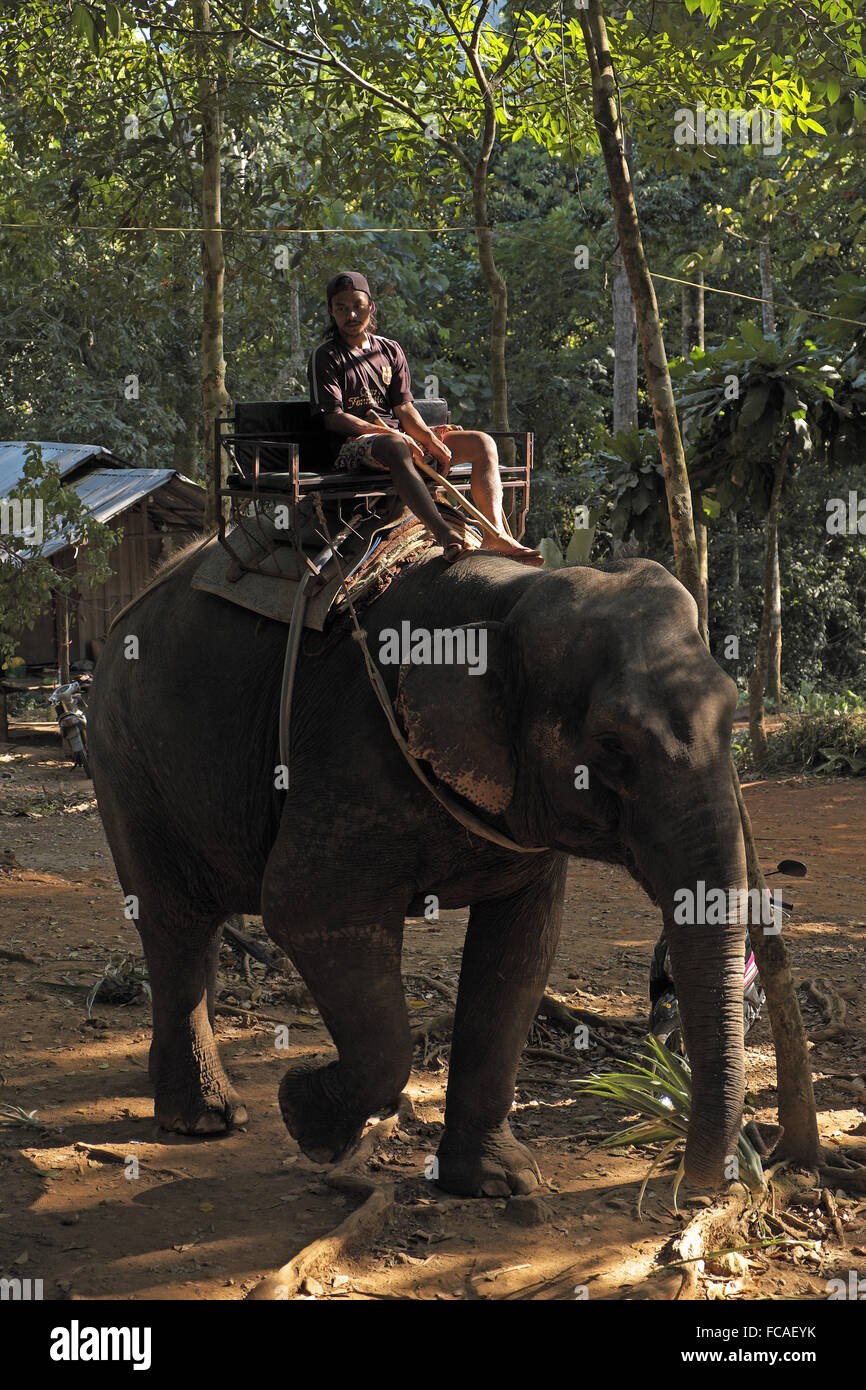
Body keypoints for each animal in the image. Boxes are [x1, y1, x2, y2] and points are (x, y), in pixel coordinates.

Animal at [88, 546, 748, 1198]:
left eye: (732, 715)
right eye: (613, 743)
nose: (690, 1190)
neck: (510, 595)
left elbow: (522, 947)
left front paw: (498, 1181)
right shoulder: (352, 749)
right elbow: (305, 910)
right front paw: (306, 1118)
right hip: (124, 759)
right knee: (173, 919)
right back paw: (206, 1118)